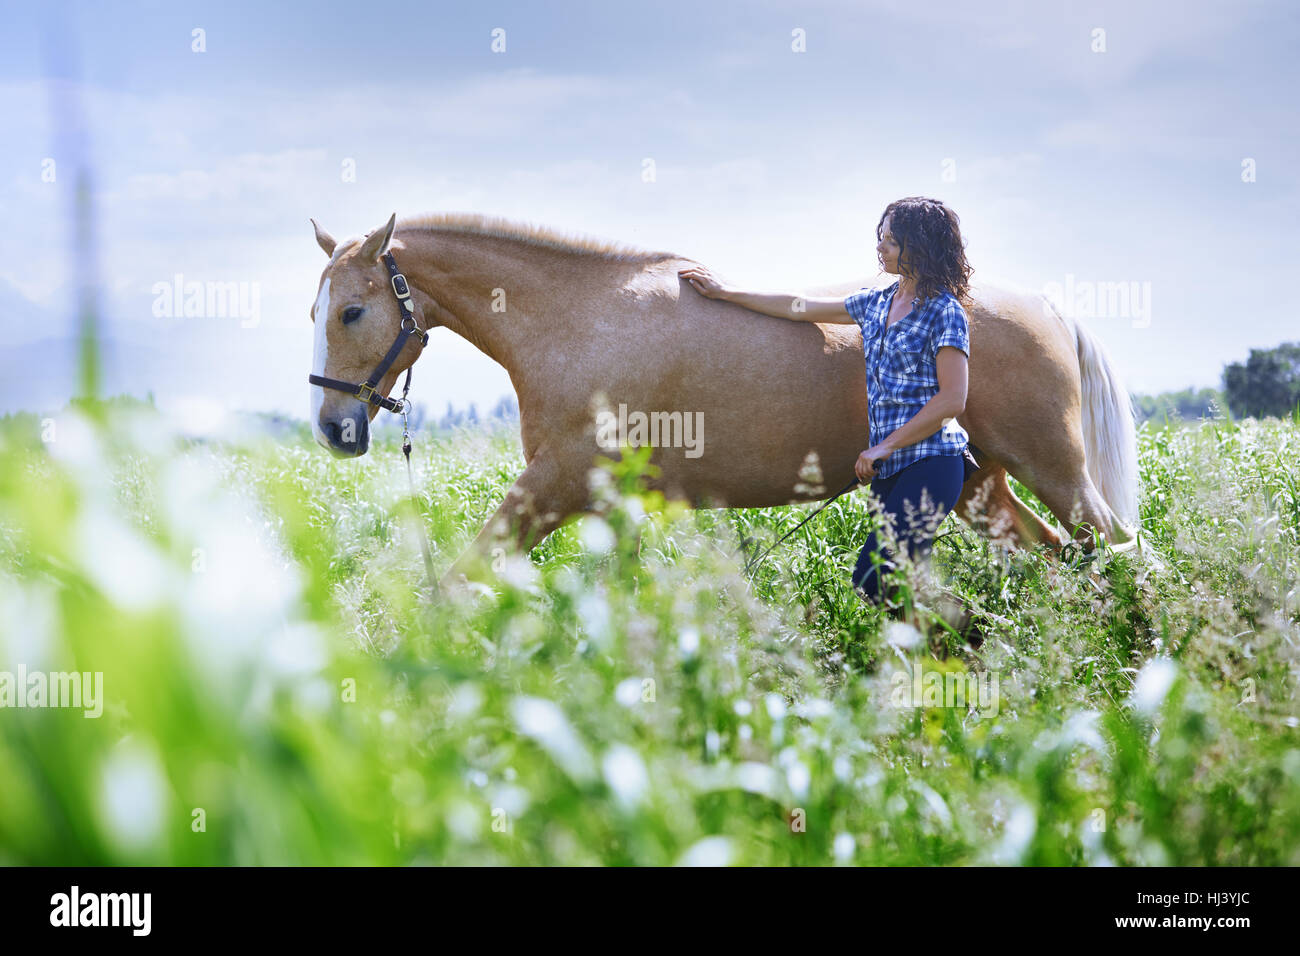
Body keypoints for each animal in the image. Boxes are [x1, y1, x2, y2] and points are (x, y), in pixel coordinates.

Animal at [307, 212, 1142, 592]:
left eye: (350, 311)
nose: (334, 428)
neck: (577, 321)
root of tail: (1049, 309)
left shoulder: (553, 485)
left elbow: (463, 573)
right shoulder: (612, 502)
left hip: (1054, 470)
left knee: (1115, 549)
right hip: (978, 483)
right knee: (1059, 557)